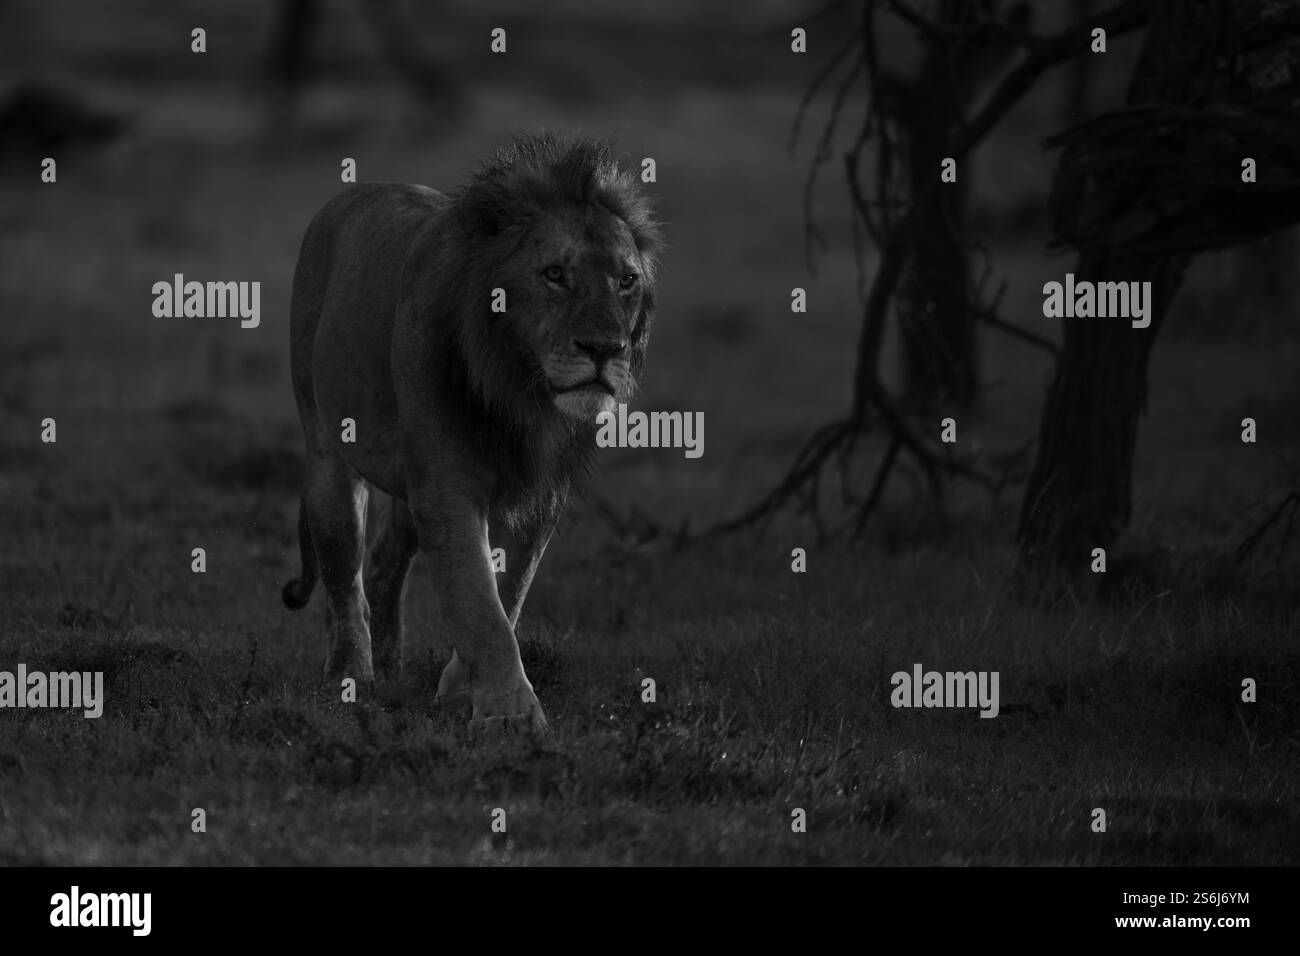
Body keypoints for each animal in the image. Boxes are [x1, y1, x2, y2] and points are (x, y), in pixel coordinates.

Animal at [281, 134, 661, 734]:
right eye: (554, 273)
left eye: (627, 280)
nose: (604, 349)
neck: (521, 391)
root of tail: (350, 196)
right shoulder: (448, 483)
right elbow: (477, 599)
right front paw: (509, 715)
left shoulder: (539, 491)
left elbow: (509, 591)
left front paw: (462, 689)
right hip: (326, 447)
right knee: (344, 566)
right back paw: (351, 672)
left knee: (386, 563)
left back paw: (392, 668)